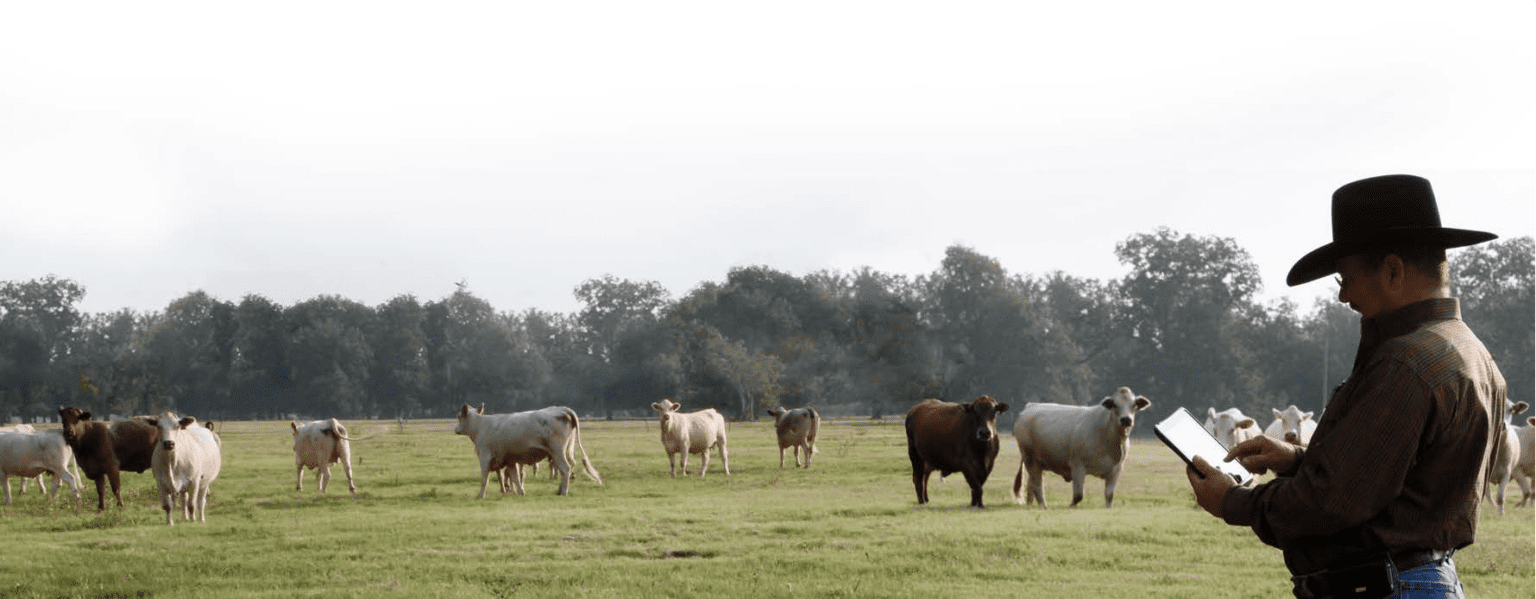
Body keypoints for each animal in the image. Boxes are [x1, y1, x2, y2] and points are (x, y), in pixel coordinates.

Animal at [453, 404, 601, 498]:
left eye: (459, 416)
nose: (455, 429)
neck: (481, 426)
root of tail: (562, 409)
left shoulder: (484, 457)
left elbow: (485, 478)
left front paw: (481, 495)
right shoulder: (510, 460)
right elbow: (515, 477)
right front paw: (520, 492)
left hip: (557, 451)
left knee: (565, 469)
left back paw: (563, 491)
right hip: (560, 453)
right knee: (563, 469)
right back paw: (560, 489)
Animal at [1013, 387, 1151, 508]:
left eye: (1134, 405)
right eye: (1115, 405)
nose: (1126, 420)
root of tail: (1031, 406)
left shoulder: (1116, 469)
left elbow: (1109, 495)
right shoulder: (1077, 466)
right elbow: (1078, 495)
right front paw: (1070, 506)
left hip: (1038, 463)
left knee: (1031, 484)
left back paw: (1030, 504)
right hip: (1030, 459)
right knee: (1037, 485)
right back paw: (1043, 506)